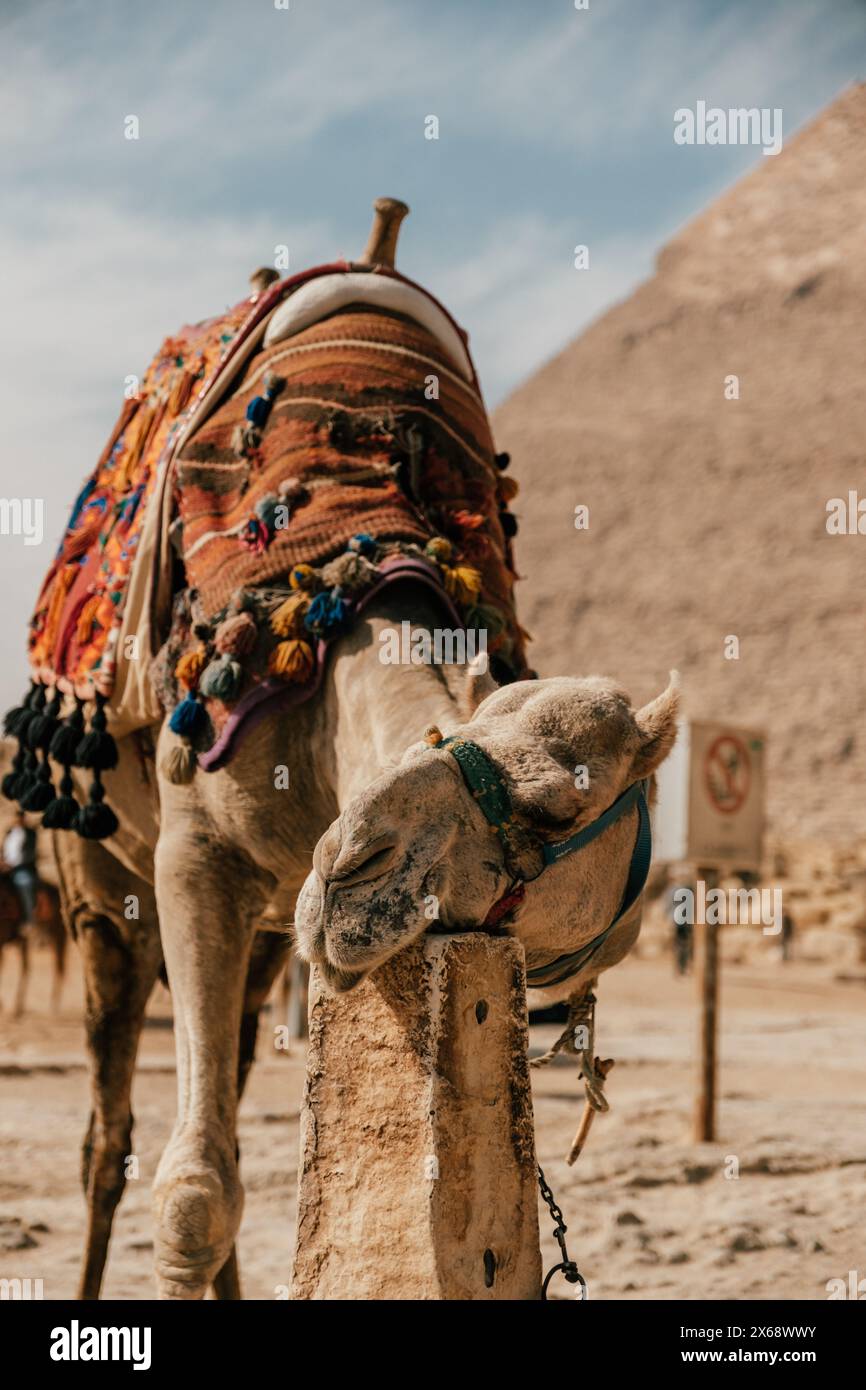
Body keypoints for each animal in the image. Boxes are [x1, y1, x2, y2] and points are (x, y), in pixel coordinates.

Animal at [25, 199, 679, 1300]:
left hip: (262, 936)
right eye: (460, 734)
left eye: (560, 805)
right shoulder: (192, 855)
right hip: (96, 884)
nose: (344, 869)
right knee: (107, 1139)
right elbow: (192, 1192)